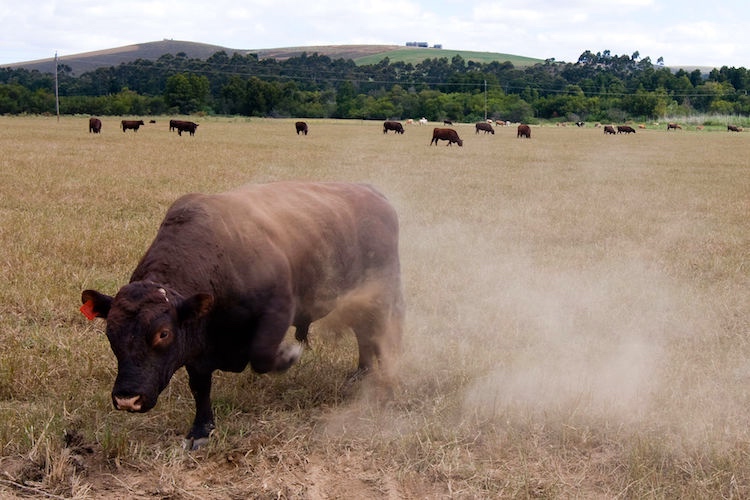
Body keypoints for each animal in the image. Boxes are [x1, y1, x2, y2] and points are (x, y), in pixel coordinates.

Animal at [80, 181, 404, 449]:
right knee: (364, 332)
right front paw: (201, 430)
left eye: (163, 333)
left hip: (382, 292)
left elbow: (261, 356)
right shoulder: (198, 347)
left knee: (381, 331)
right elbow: (200, 388)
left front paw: (289, 355)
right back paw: (362, 372)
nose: (127, 399)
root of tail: (376, 195)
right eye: (110, 333)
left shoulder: (278, 310)